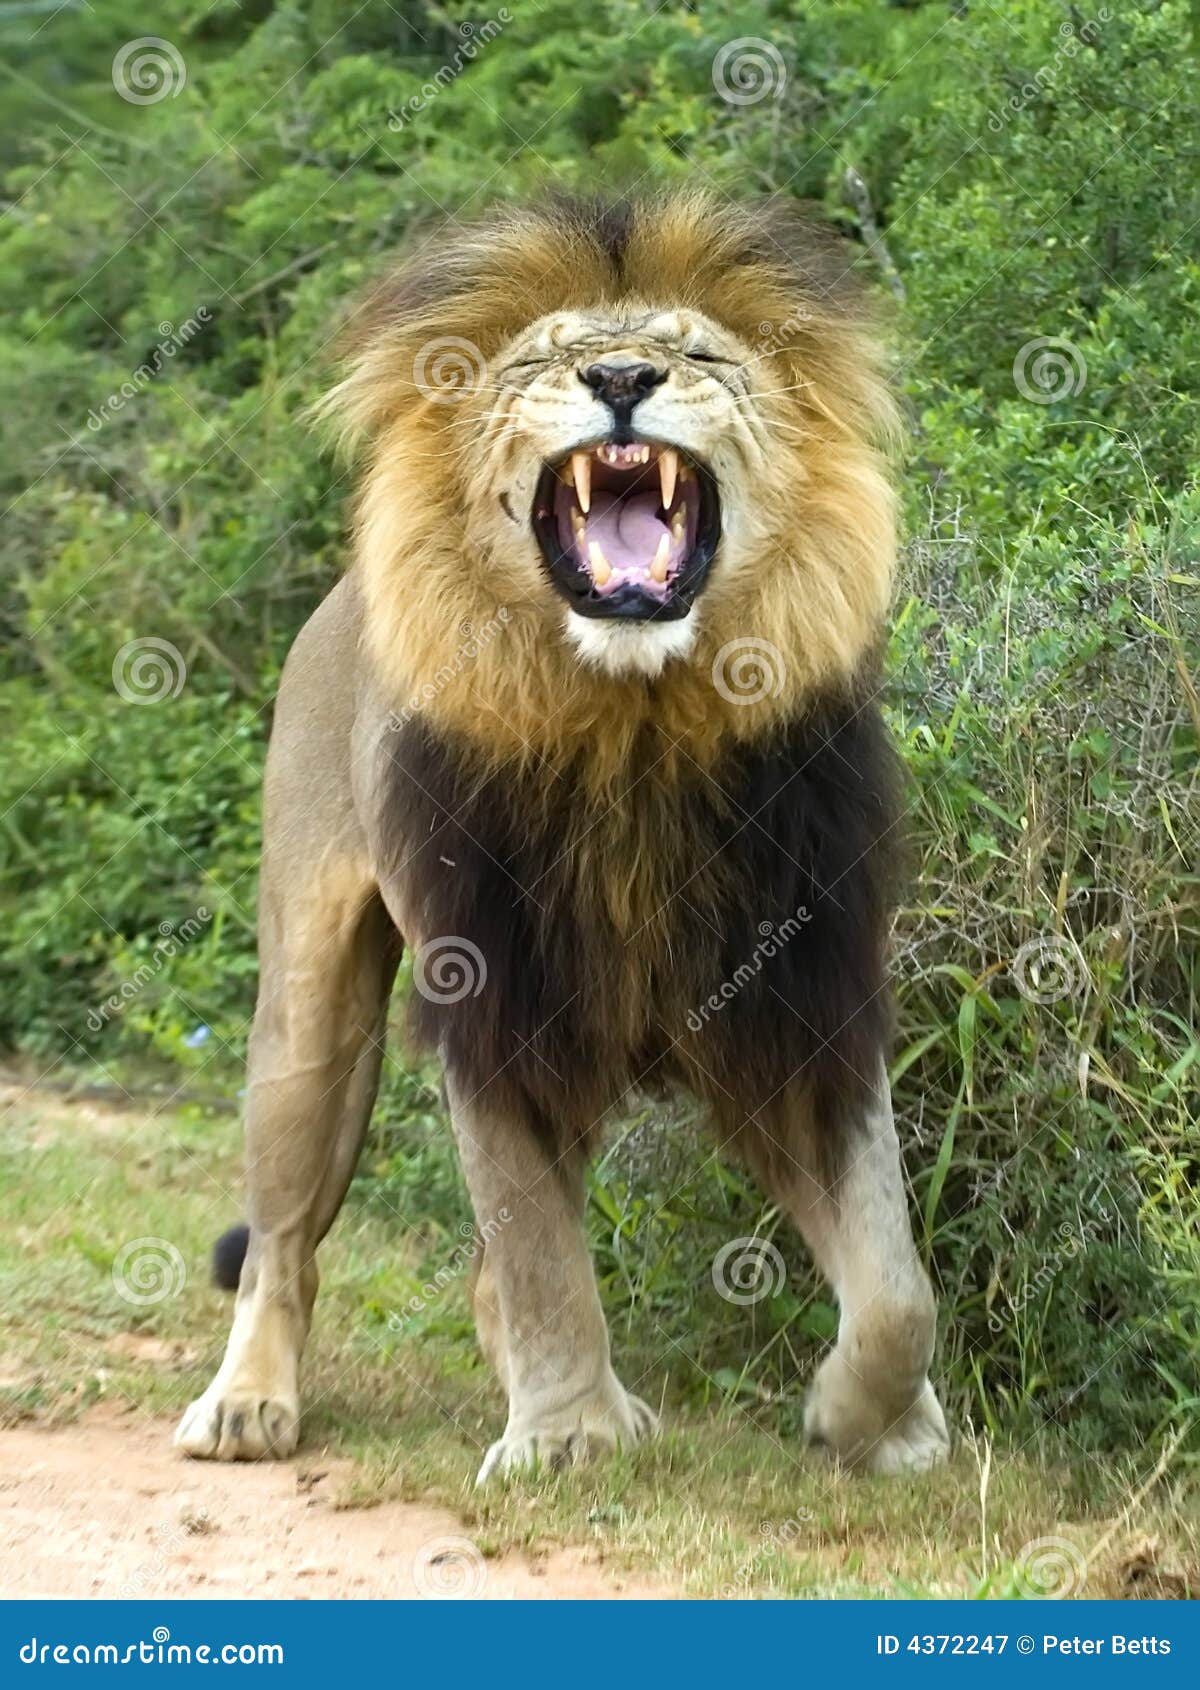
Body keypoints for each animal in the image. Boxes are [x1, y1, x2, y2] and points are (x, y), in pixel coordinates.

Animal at [175, 192, 950, 1479]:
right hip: (305, 1015)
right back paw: (247, 1404)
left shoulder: (797, 994)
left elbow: (894, 1280)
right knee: (284, 1241)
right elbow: (536, 1243)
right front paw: (569, 1438)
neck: (633, 717)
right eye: (543, 361)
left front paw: (874, 1424)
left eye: (698, 357)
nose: (623, 377)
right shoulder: (494, 997)